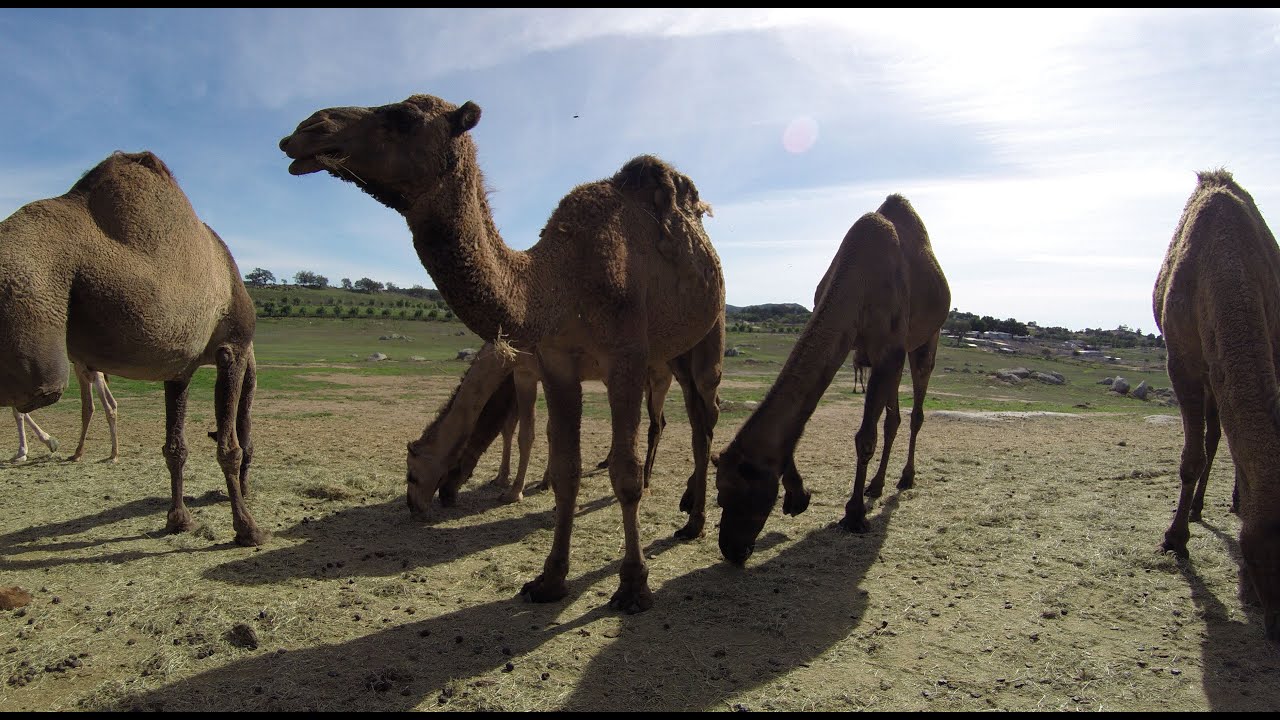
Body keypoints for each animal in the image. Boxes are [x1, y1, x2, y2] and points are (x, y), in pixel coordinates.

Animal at [0, 151, 265, 546]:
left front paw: (178, 520)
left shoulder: (178, 368)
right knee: (35, 396)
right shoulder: (231, 346)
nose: (249, 489)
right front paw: (247, 527)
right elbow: (230, 446)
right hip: (36, 335)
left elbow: (175, 448)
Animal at [281, 94, 724, 612]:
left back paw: (694, 521)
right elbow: (566, 469)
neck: (554, 285)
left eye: (403, 118)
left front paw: (633, 586)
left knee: (704, 417)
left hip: (707, 334)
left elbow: (625, 474)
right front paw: (549, 579)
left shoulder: (625, 361)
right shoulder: (557, 363)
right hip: (666, 357)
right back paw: (687, 506)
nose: (307, 129)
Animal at [715, 195, 950, 565]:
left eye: (740, 495)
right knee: (894, 419)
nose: (731, 550)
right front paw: (799, 497)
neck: (859, 279)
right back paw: (876, 485)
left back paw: (905, 478)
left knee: (915, 413)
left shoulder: (890, 348)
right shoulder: (858, 347)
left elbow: (865, 436)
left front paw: (853, 515)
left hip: (927, 338)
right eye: (719, 492)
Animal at [1154, 168, 1280, 641]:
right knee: (1211, 435)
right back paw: (1196, 507)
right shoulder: (1181, 361)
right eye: (1265, 553)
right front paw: (1175, 539)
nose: (1277, 628)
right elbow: (1191, 455)